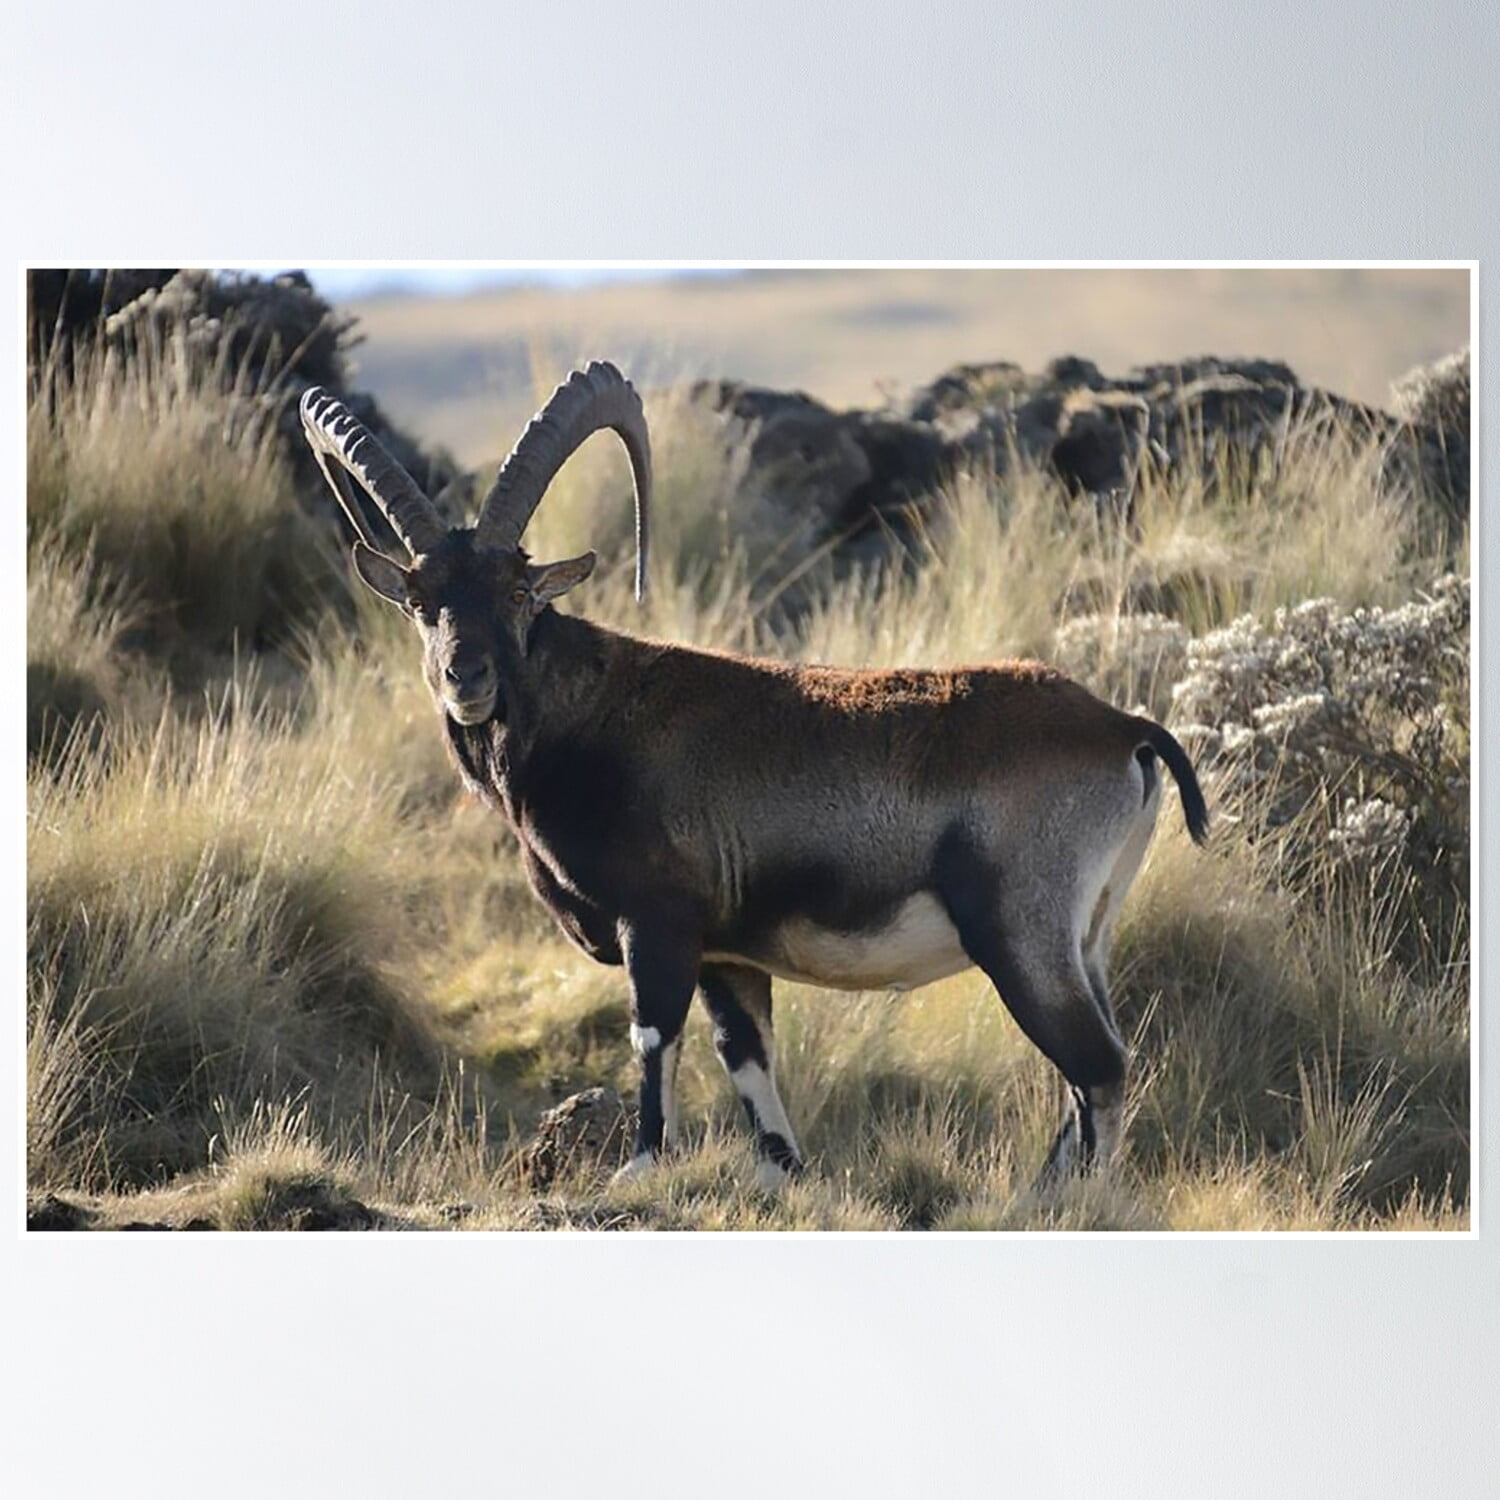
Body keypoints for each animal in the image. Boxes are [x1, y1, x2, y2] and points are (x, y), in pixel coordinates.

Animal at [300, 362, 1207, 1189]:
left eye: (520, 591)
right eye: (422, 602)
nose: (468, 678)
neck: (588, 722)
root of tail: (1125, 732)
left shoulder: (657, 925)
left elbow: (653, 1037)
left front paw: (638, 1169)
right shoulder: (728, 956)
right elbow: (746, 1056)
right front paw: (781, 1174)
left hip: (1021, 934)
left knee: (1100, 1069)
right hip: (1084, 938)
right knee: (1088, 1078)